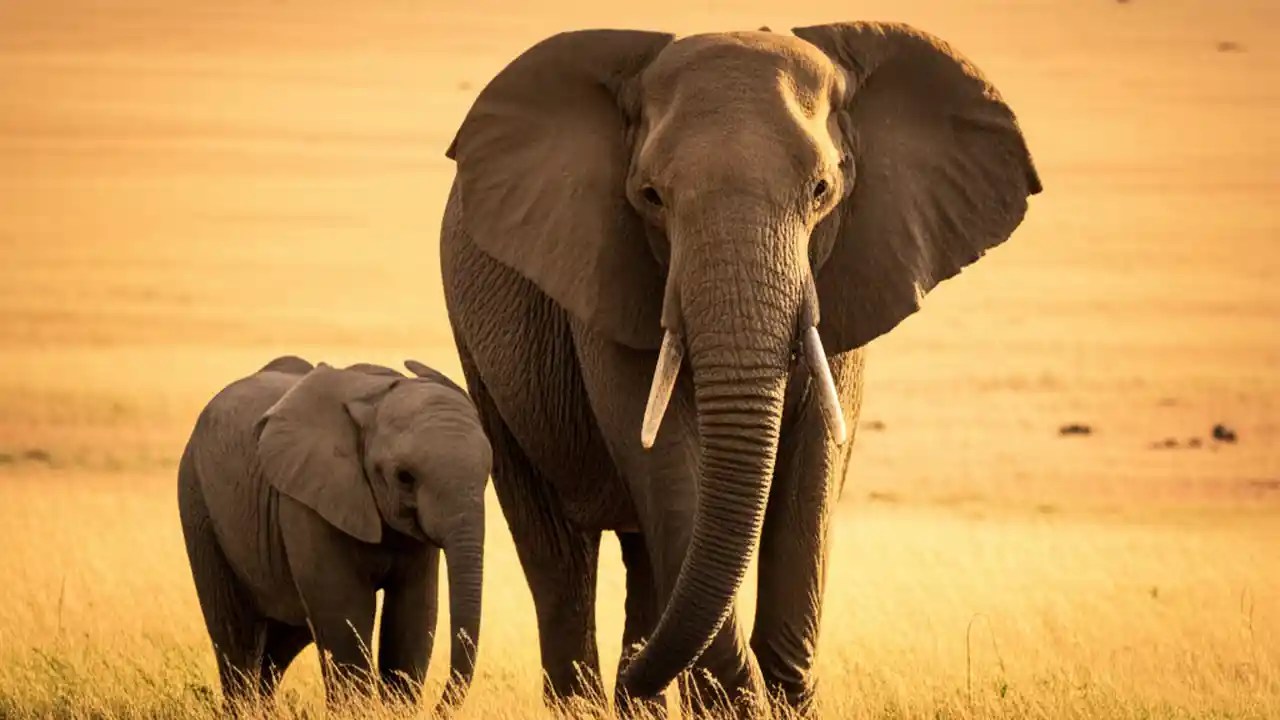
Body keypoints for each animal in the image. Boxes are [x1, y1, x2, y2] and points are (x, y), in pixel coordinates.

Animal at [177, 356, 490, 714]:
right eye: (404, 477)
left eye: (487, 475)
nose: (438, 708)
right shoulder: (309, 503)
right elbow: (346, 615)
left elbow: (413, 613)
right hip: (198, 503)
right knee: (236, 634)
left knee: (285, 638)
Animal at [439, 22, 1039, 717]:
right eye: (650, 197)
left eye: (821, 191)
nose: (639, 673)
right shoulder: (605, 273)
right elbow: (667, 460)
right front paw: (737, 700)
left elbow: (816, 464)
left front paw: (780, 697)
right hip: (480, 357)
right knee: (559, 553)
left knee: (647, 561)